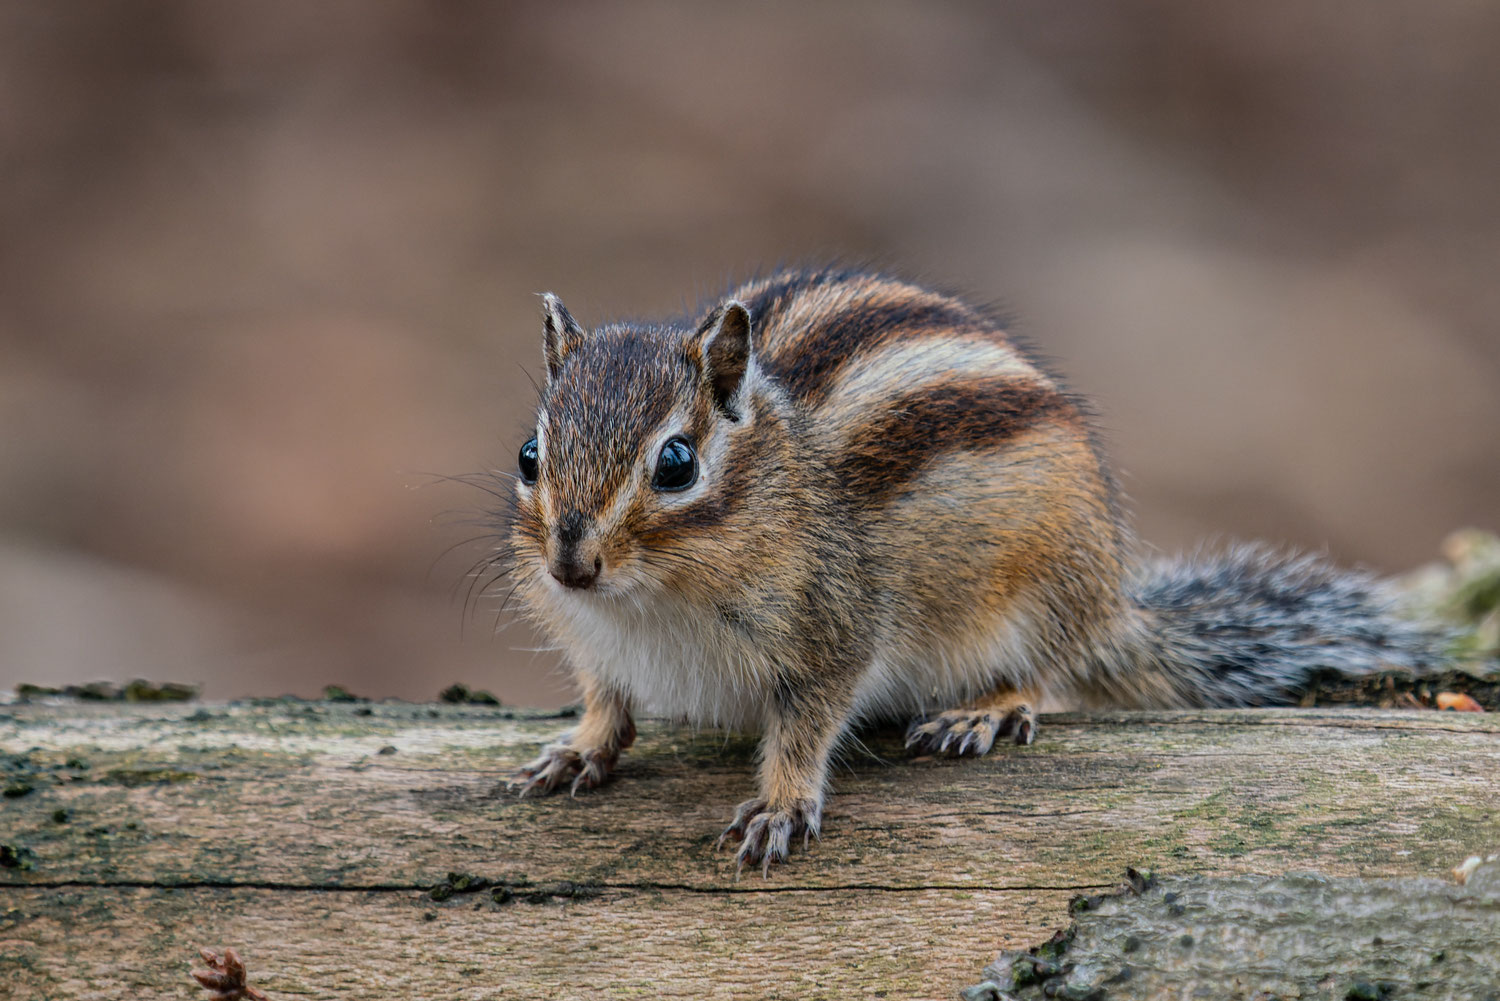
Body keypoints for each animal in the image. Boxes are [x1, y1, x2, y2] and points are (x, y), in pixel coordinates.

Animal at [499, 267, 1447, 875]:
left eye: (676, 464)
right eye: (528, 454)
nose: (571, 561)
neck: (650, 602)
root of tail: (1109, 604)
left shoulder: (836, 631)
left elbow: (806, 728)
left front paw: (781, 805)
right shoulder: (599, 645)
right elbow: (607, 703)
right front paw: (577, 751)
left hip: (1036, 594)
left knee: (1045, 671)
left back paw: (983, 710)